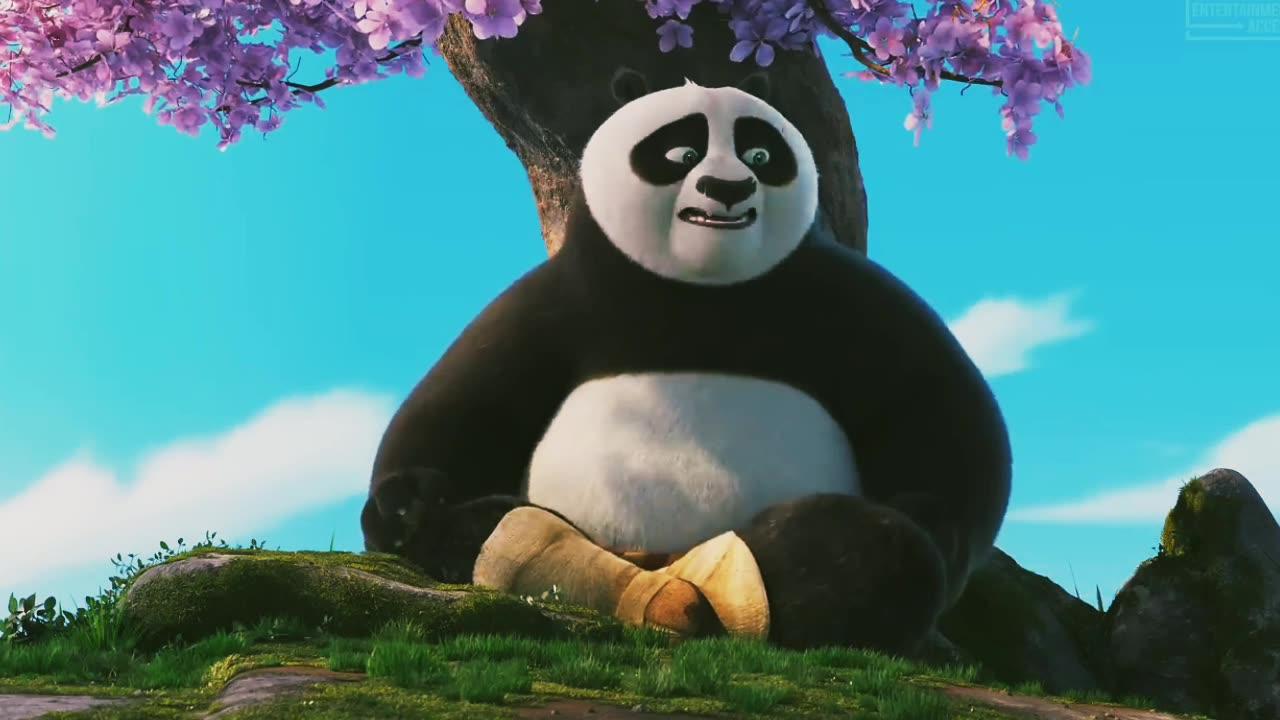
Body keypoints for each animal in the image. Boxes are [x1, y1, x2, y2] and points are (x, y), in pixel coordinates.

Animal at [361, 69, 1012, 654]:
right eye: (682, 152)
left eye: (760, 153)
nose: (728, 188)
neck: (698, 293)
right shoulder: (560, 303)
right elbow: (465, 404)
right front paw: (405, 503)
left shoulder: (840, 295)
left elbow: (939, 411)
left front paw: (933, 517)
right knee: (491, 526)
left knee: (870, 550)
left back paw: (726, 590)